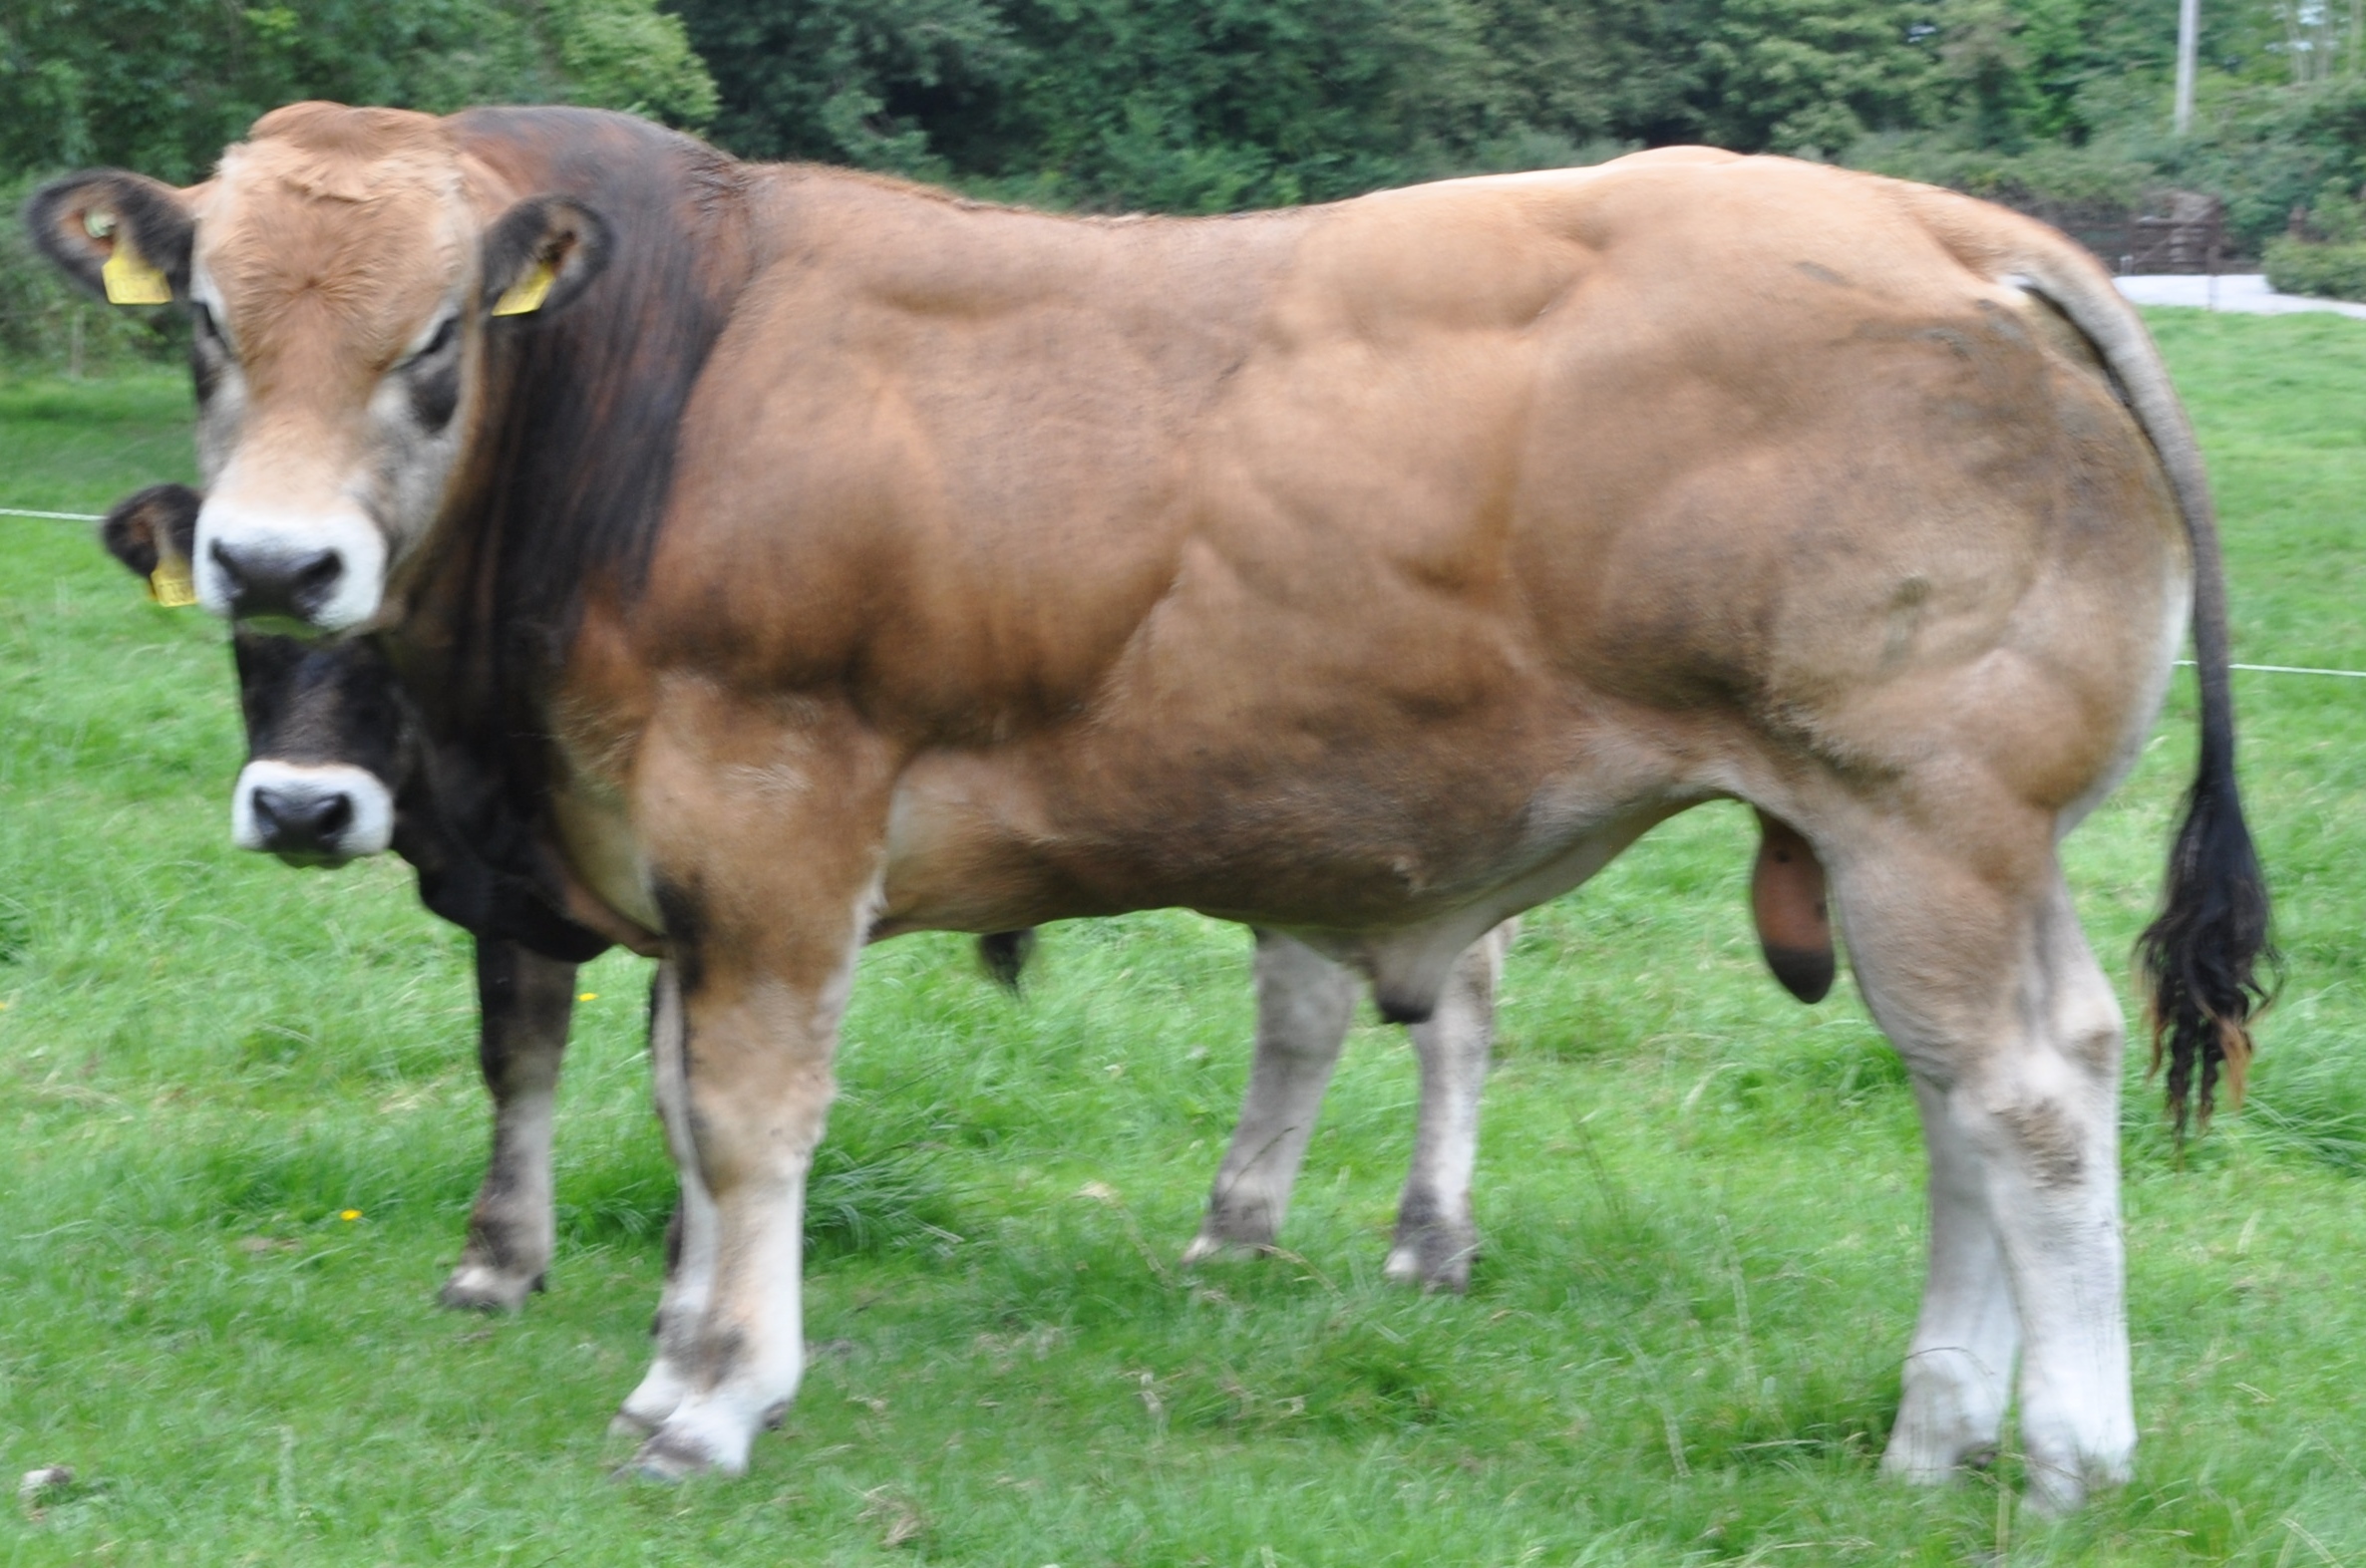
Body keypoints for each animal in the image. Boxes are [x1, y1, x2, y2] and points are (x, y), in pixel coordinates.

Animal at [30, 107, 2269, 1511]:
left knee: (2018, 1103)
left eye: (432, 339)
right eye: (209, 318)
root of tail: (1964, 233)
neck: (660, 386)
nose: (279, 561)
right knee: (1996, 1085)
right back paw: (1932, 1431)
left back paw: (2062, 1454)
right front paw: (679, 1344)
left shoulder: (774, 807)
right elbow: (674, 1108)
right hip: (1952, 840)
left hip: (1921, 813)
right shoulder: (673, 862)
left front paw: (708, 1396)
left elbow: (746, 1118)